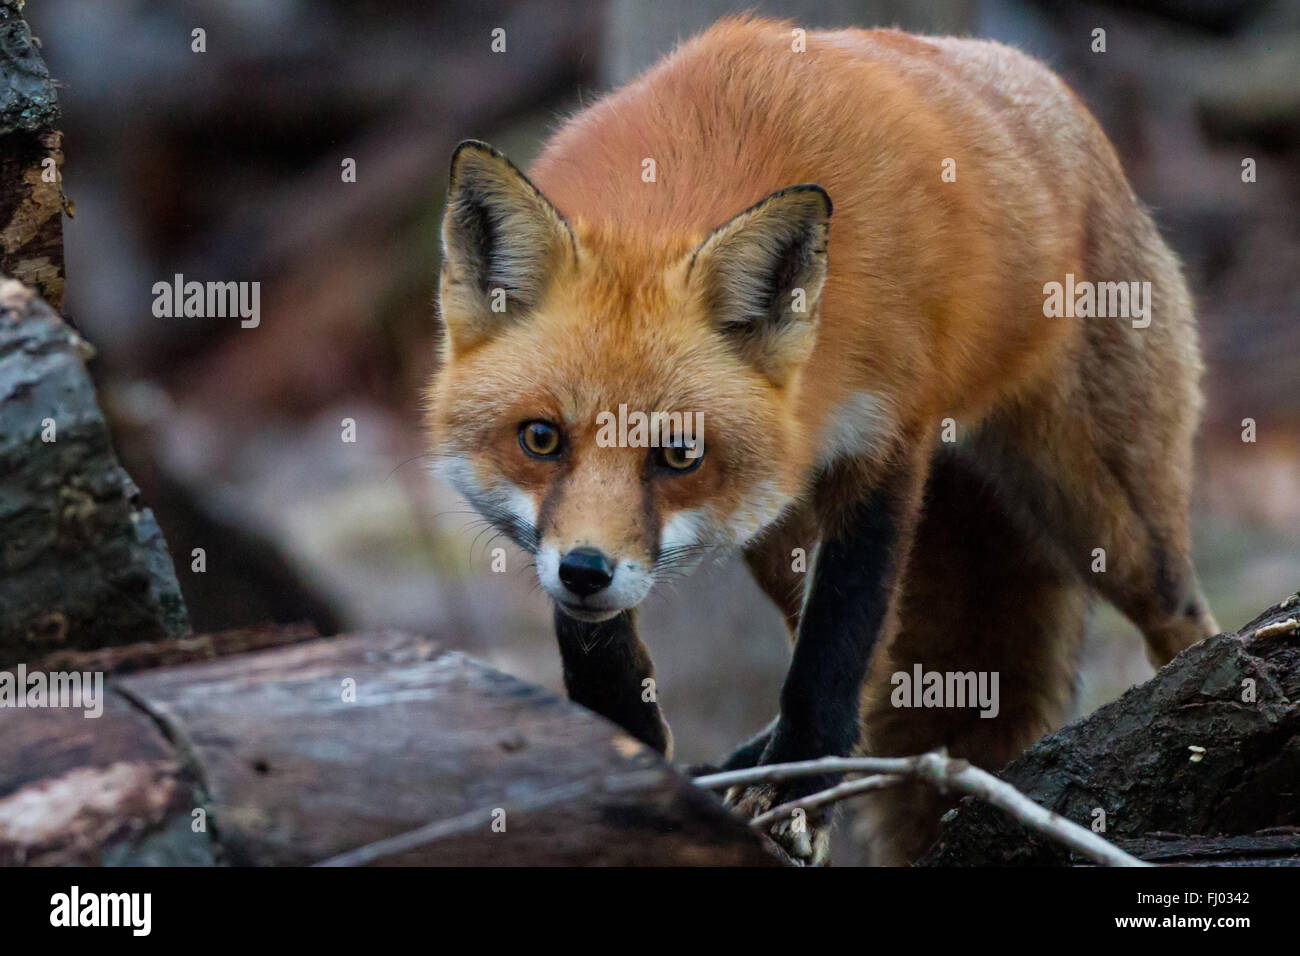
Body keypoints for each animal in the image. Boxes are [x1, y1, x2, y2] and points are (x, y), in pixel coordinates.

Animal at [426, 16, 1219, 865]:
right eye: (540, 438)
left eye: (679, 454)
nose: (584, 570)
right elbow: (595, 643)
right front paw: (626, 752)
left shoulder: (888, 442)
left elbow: (836, 645)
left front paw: (793, 792)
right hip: (775, 532)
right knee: (883, 670)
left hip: (1105, 512)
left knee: (1179, 614)